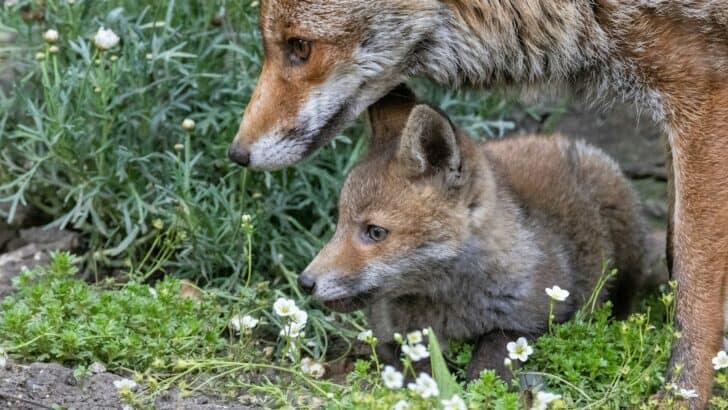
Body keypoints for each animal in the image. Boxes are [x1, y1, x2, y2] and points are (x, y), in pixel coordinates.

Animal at [299, 87, 648, 380]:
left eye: (375, 232)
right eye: (340, 221)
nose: (305, 282)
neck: (453, 306)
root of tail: (556, 137)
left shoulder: (538, 317)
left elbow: (491, 354)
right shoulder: (393, 337)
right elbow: (415, 364)